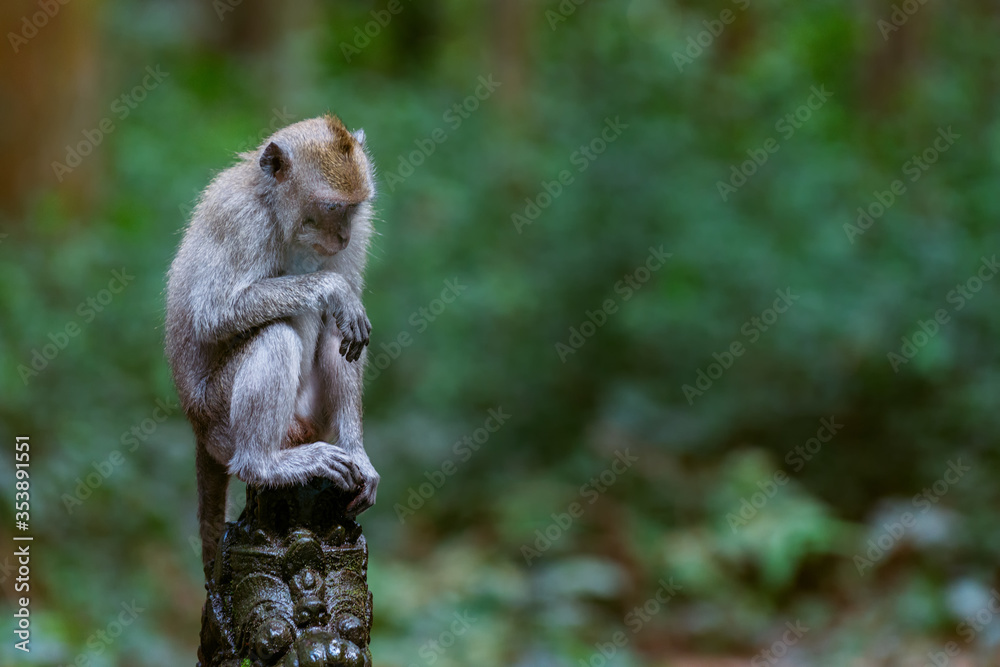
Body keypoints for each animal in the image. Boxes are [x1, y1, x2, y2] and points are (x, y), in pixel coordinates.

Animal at [165, 115, 379, 575]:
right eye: (331, 207)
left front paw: (360, 456)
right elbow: (212, 312)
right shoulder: (241, 220)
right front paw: (332, 287)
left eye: (354, 208)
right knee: (277, 331)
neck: (276, 210)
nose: (344, 236)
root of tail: (195, 426)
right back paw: (264, 465)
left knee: (333, 328)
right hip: (218, 419)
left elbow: (348, 318)